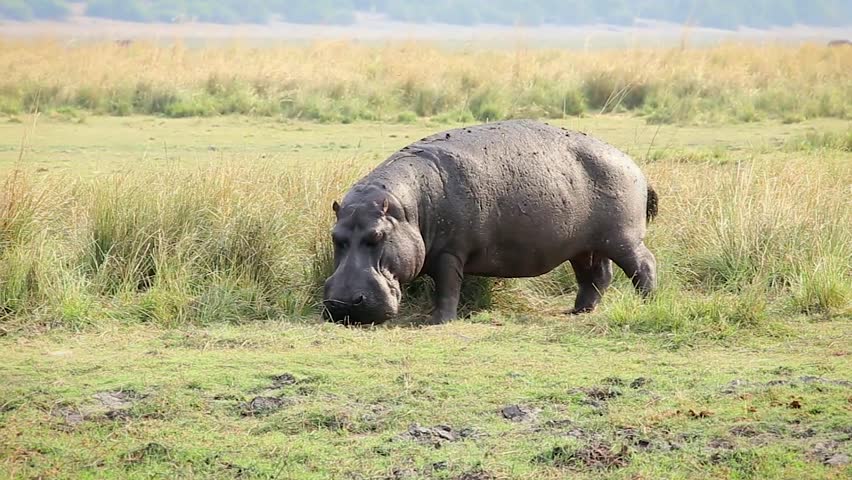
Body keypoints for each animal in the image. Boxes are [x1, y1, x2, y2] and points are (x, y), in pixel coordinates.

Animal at [323, 119, 658, 325]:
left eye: (377, 236)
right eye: (334, 237)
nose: (344, 304)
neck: (408, 208)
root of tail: (632, 163)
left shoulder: (450, 253)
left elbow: (447, 287)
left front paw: (438, 321)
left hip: (623, 238)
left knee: (644, 264)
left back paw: (647, 303)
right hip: (583, 245)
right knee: (597, 276)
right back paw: (577, 311)